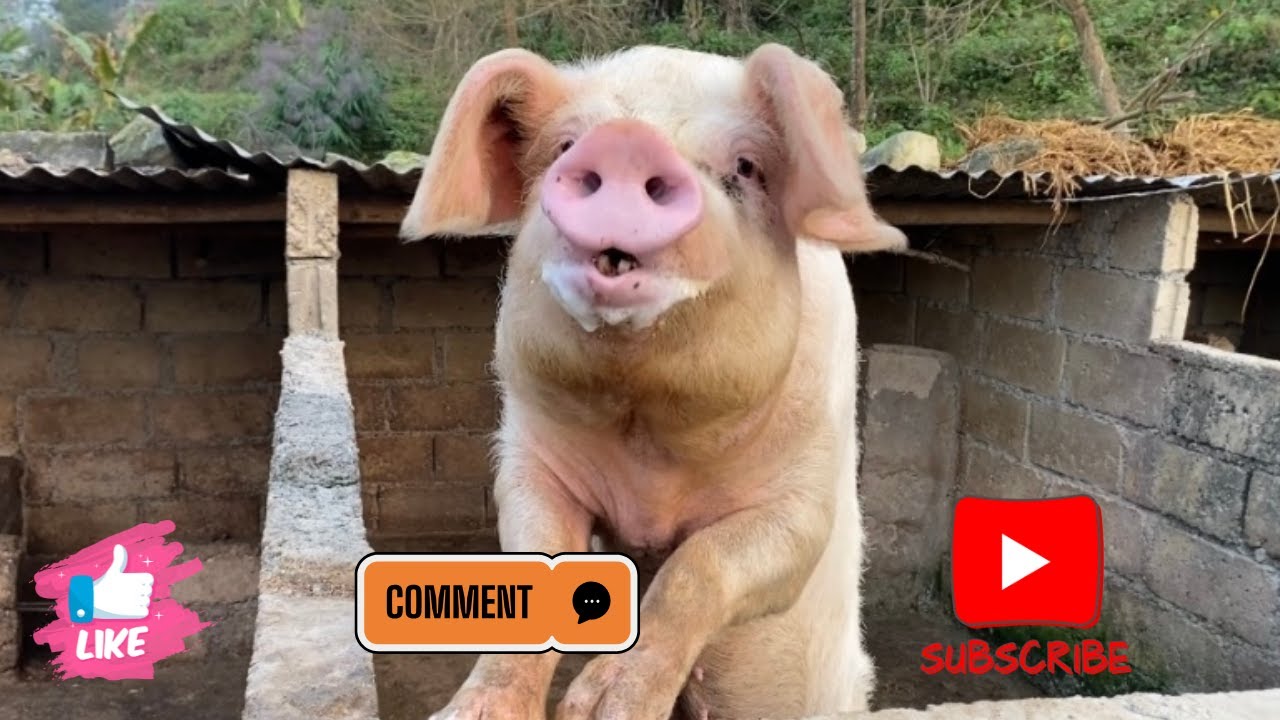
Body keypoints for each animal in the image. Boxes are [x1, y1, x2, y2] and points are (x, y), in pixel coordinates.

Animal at [400, 43, 907, 720]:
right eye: (564, 146)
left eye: (746, 167)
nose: (627, 142)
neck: (650, 449)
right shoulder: (531, 460)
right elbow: (535, 556)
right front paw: (475, 713)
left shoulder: (804, 498)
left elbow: (699, 566)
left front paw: (600, 710)